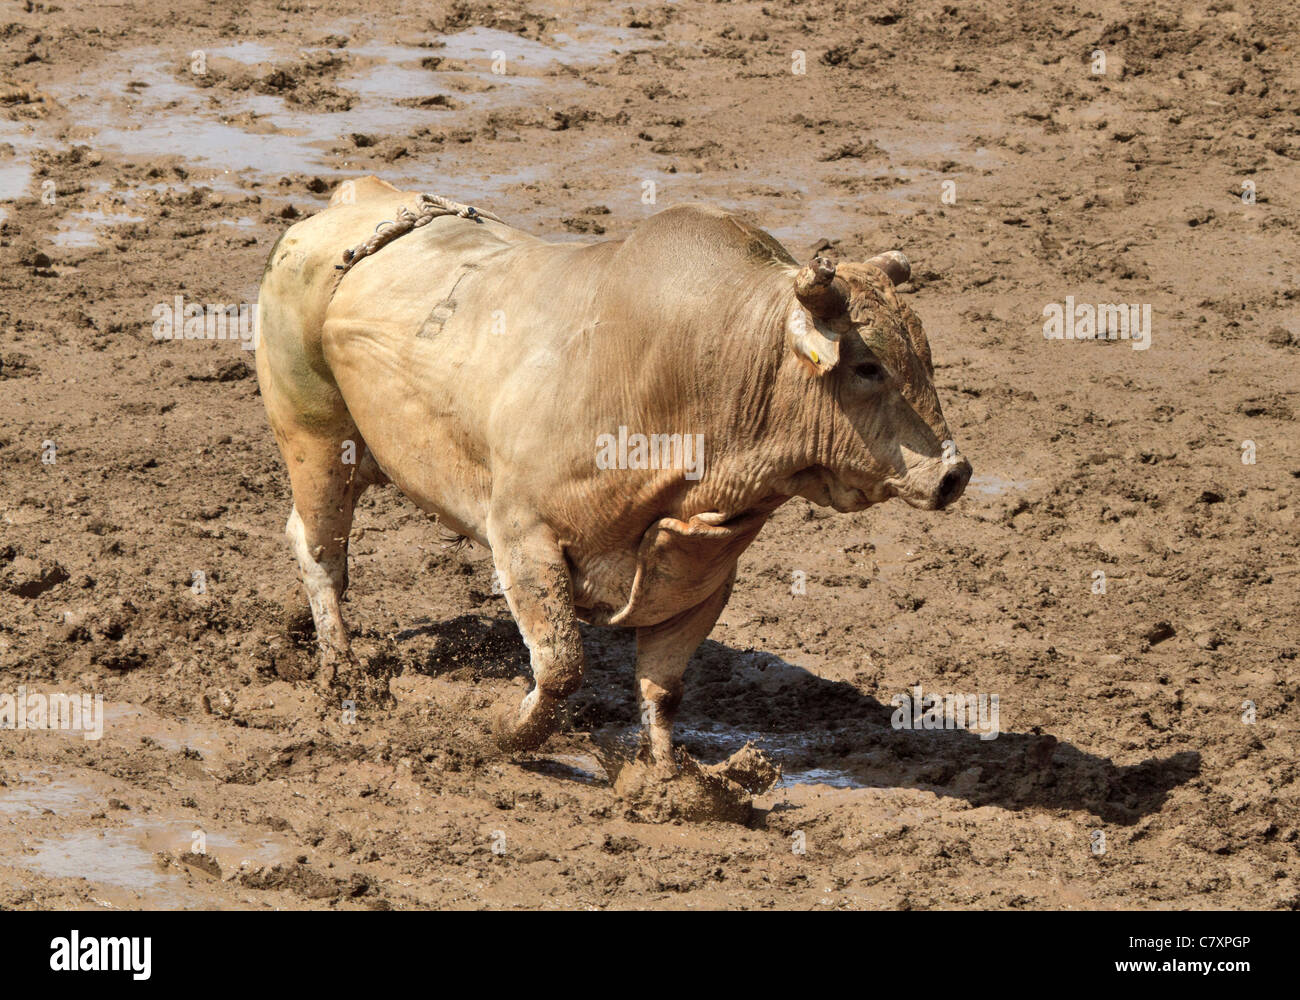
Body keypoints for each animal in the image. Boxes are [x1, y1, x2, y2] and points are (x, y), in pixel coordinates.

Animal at [255, 176, 971, 769]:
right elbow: (562, 667)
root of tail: (351, 203)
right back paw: (342, 673)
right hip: (314, 442)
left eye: (925, 355)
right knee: (320, 550)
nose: (953, 474)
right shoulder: (524, 536)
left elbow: (662, 691)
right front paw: (505, 736)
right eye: (868, 366)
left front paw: (669, 780)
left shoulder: (702, 577)